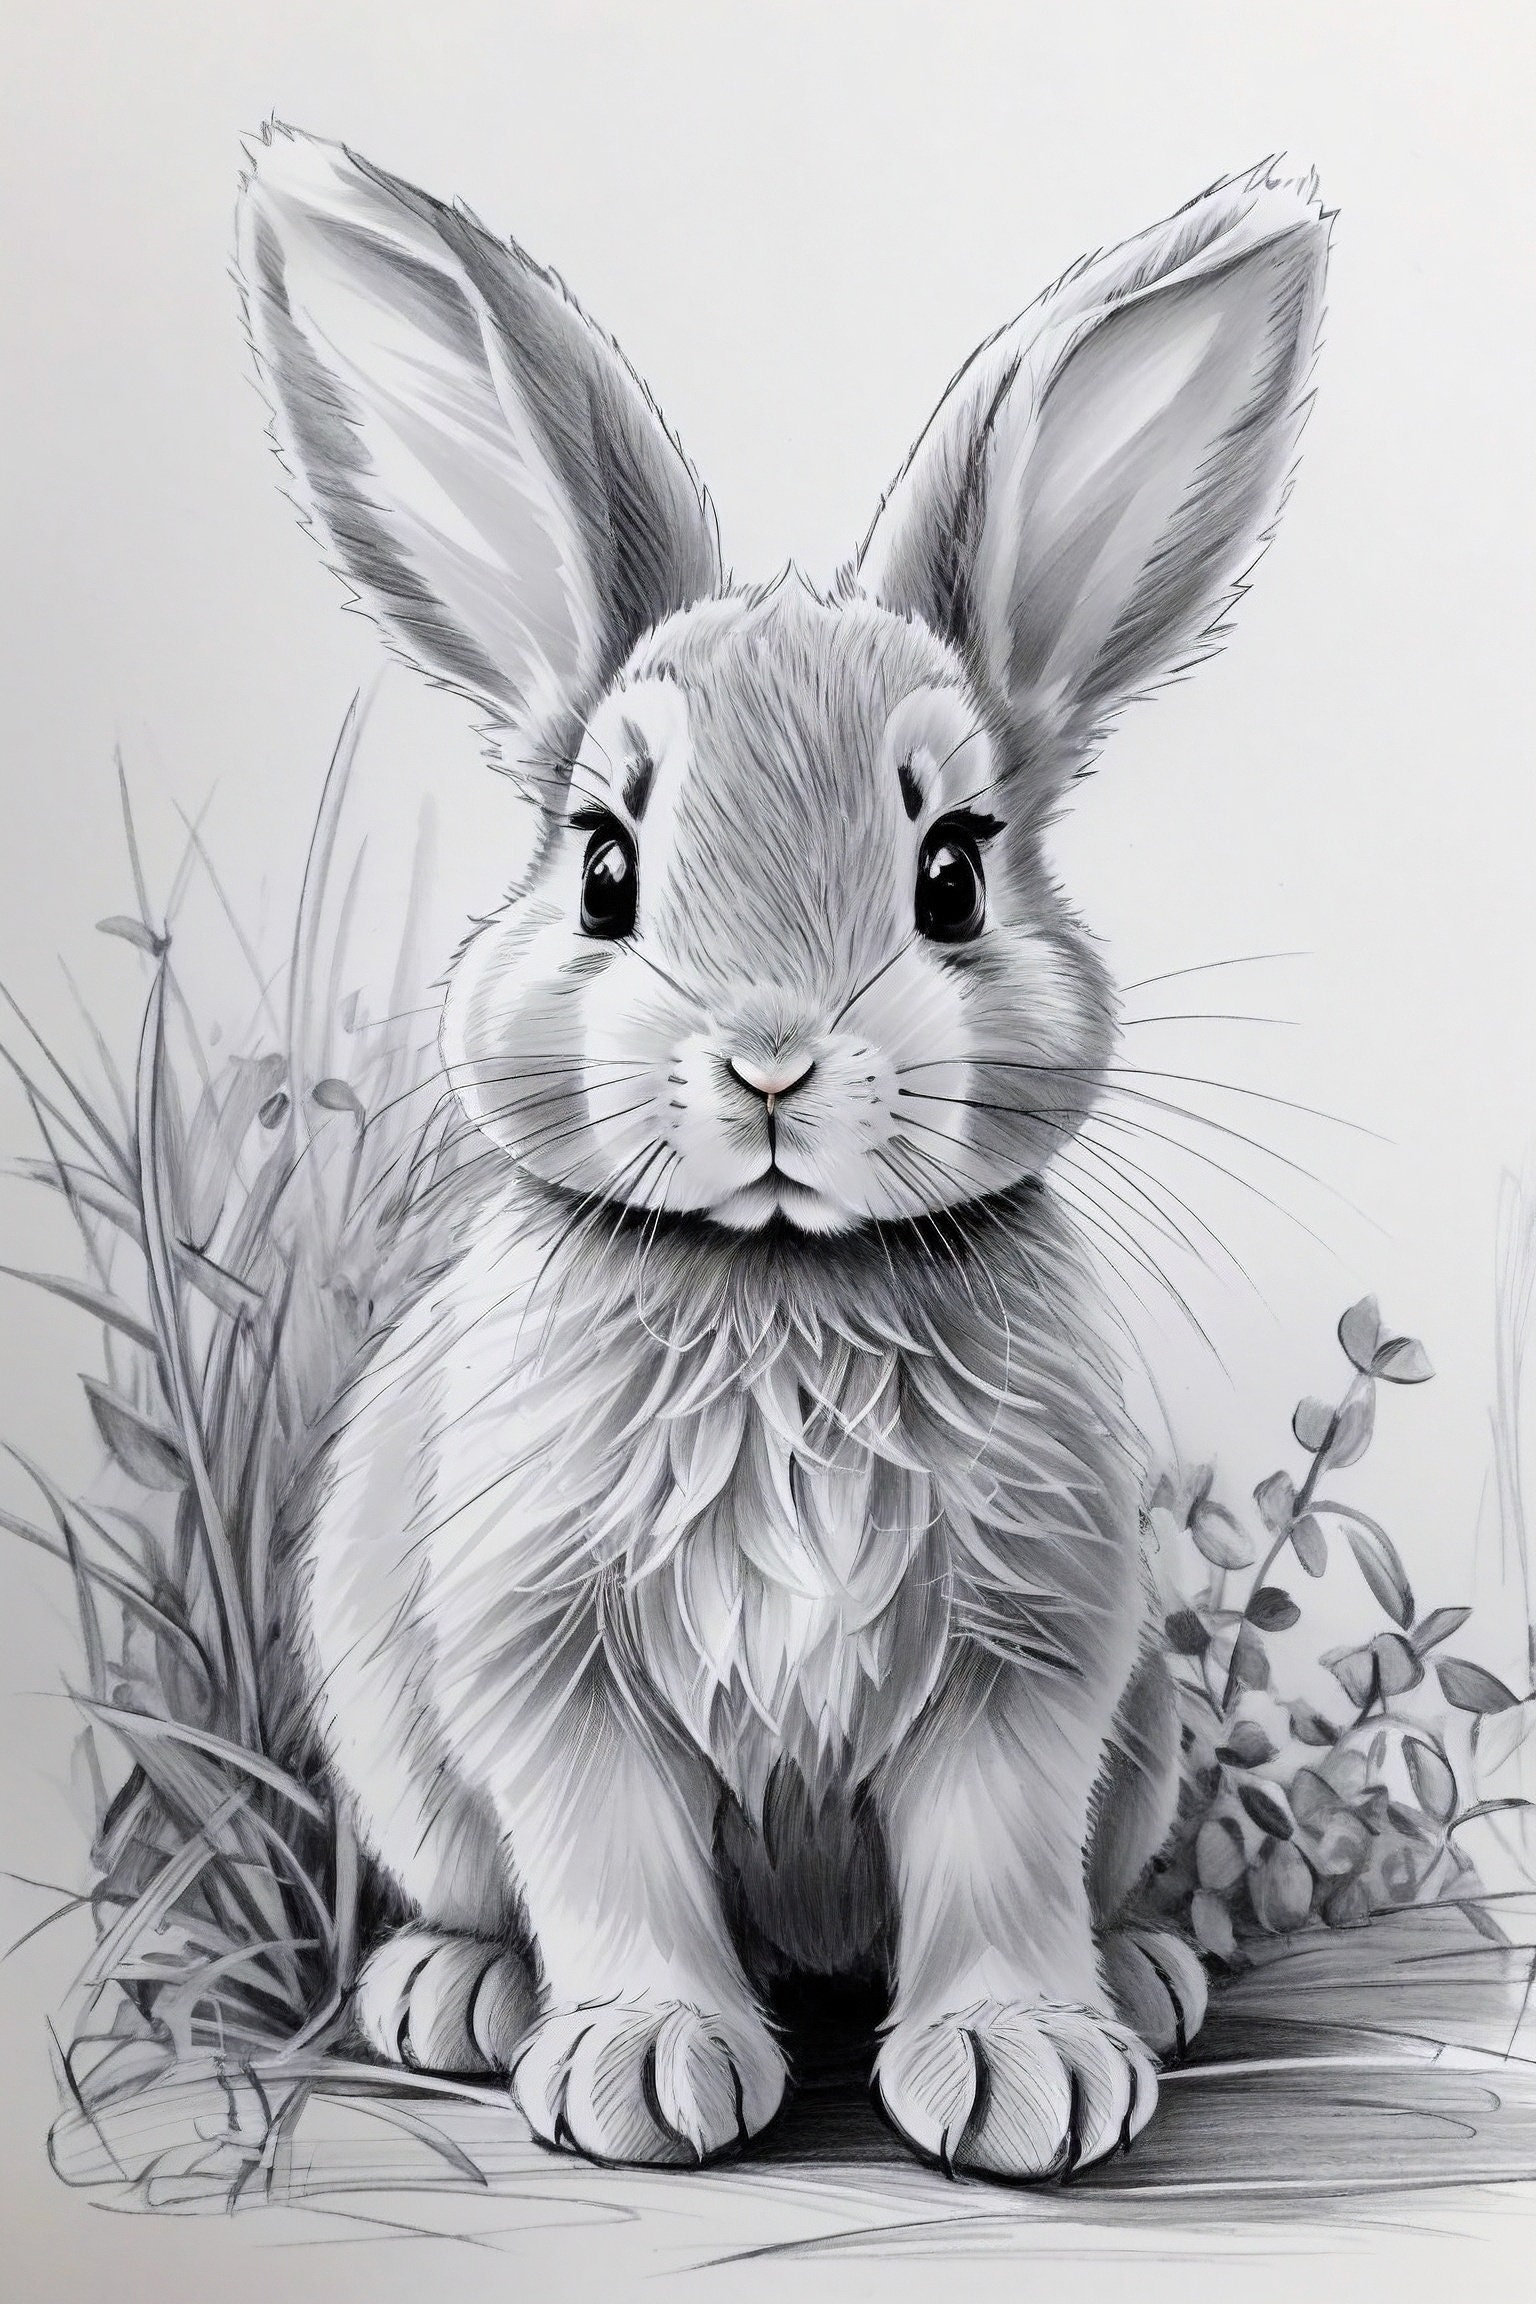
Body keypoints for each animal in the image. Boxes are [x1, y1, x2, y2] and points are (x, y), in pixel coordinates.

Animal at [236, 124, 1328, 2179]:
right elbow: (610, 1864)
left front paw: (1030, 2068)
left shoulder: (1024, 1664)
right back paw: (456, 1998)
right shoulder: (545, 1665)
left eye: (952, 870)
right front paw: (647, 2065)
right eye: (603, 865)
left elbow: (995, 1867)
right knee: (480, 1899)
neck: (781, 1279)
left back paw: (1148, 1980)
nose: (767, 1057)